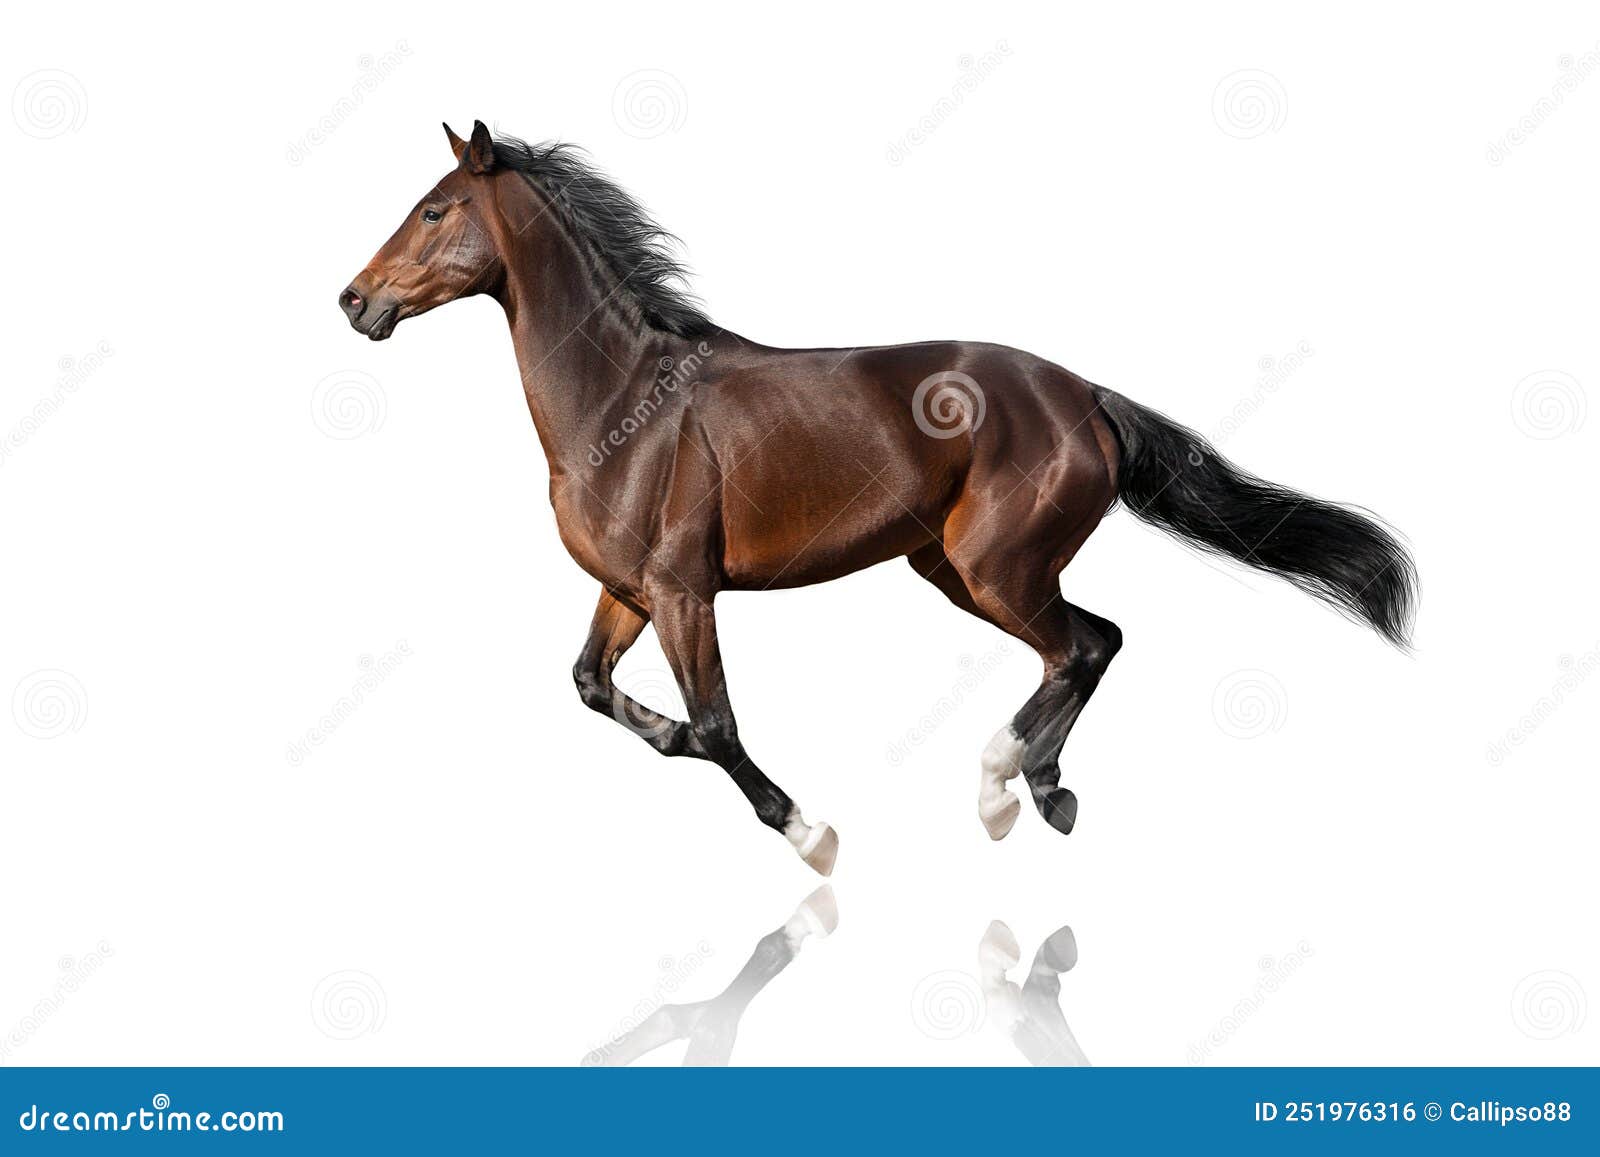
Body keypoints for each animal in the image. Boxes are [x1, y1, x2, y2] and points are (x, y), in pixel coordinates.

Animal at [340, 121, 1417, 875]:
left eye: (434, 209)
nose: (355, 300)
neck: (621, 402)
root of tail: (1085, 393)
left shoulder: (685, 589)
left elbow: (719, 723)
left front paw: (809, 832)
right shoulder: (628, 589)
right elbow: (593, 685)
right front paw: (675, 739)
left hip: (995, 565)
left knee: (1079, 647)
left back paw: (998, 790)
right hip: (956, 567)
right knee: (1094, 641)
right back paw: (1045, 792)